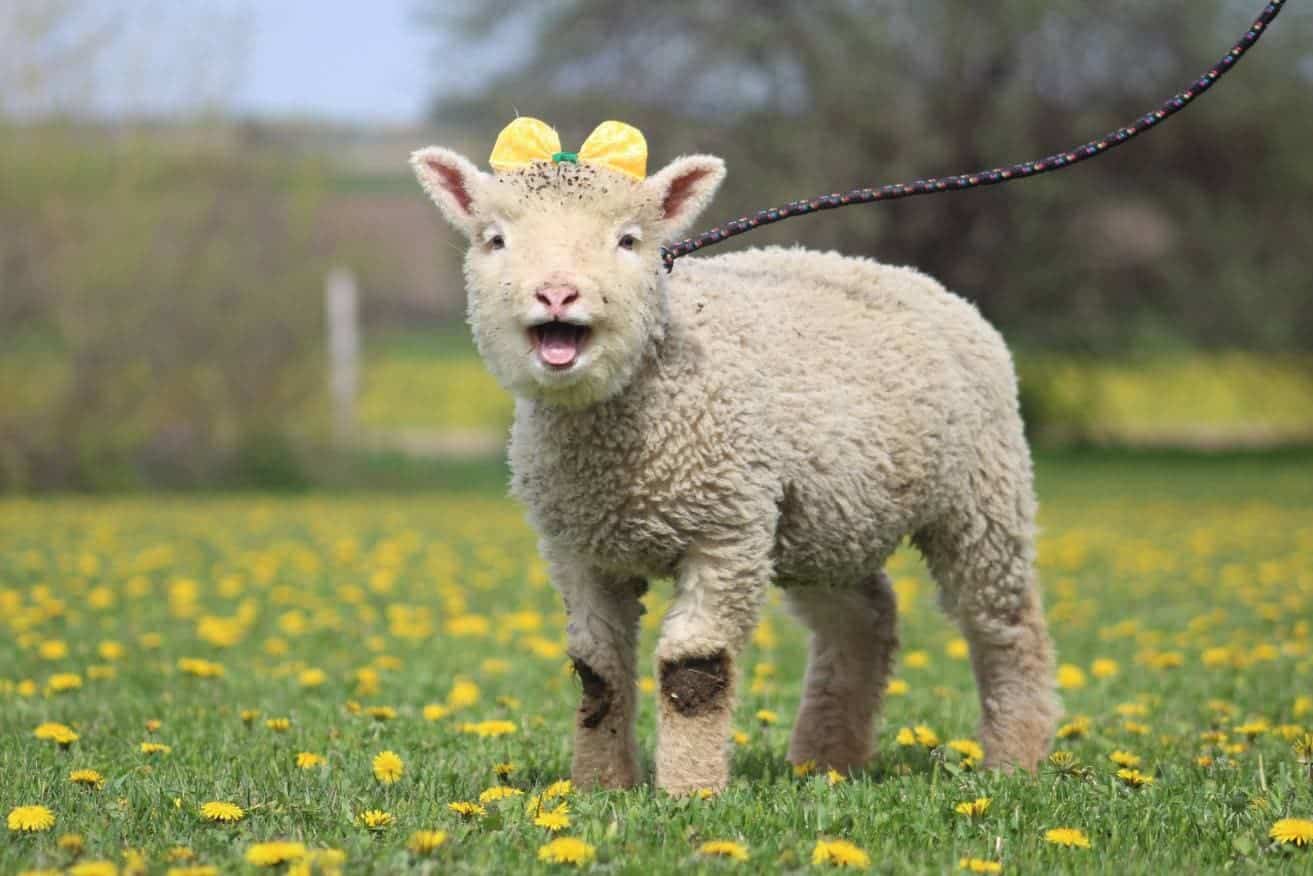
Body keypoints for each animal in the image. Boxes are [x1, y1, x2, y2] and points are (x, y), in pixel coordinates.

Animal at [410, 122, 1059, 796]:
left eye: (628, 240)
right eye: (495, 239)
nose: (558, 293)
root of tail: (915, 279)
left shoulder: (727, 533)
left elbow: (694, 669)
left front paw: (689, 792)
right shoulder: (577, 551)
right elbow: (597, 671)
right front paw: (600, 786)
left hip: (982, 491)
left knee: (1005, 622)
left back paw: (1016, 756)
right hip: (829, 518)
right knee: (863, 620)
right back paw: (826, 759)